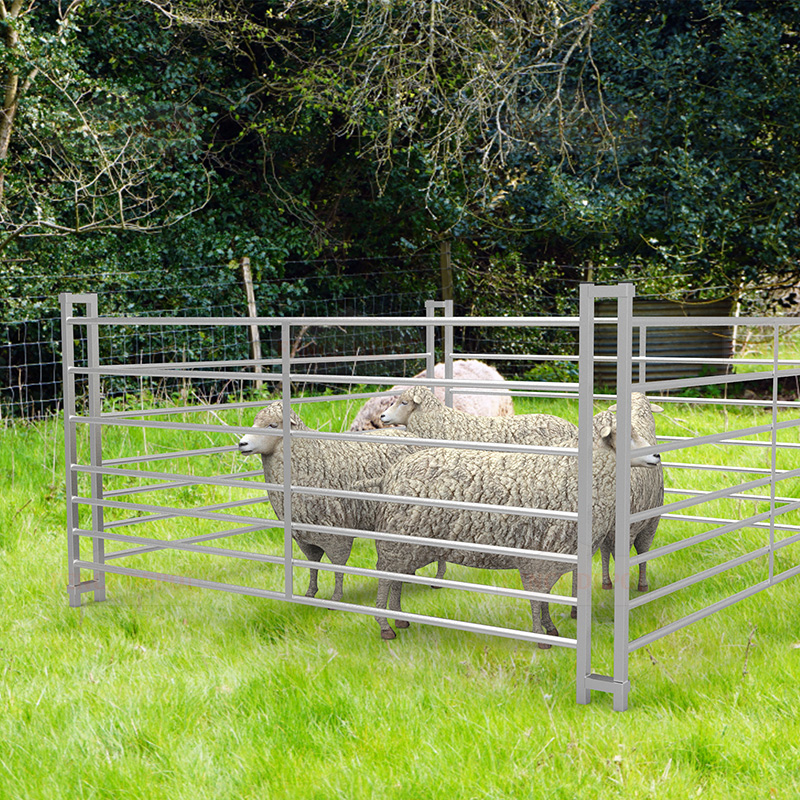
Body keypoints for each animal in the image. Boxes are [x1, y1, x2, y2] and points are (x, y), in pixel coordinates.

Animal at [238, 402, 424, 603]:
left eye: (272, 425)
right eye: (254, 422)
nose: (242, 444)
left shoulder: (337, 532)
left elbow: (338, 565)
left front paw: (336, 597)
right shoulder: (305, 535)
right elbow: (313, 564)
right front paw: (310, 593)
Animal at [371, 413, 662, 643]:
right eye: (623, 435)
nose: (657, 456)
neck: (571, 474)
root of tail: (393, 473)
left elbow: (545, 598)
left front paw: (550, 629)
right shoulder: (538, 560)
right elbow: (537, 598)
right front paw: (541, 637)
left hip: (408, 546)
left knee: (397, 579)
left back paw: (399, 618)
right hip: (396, 542)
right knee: (385, 579)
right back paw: (386, 626)